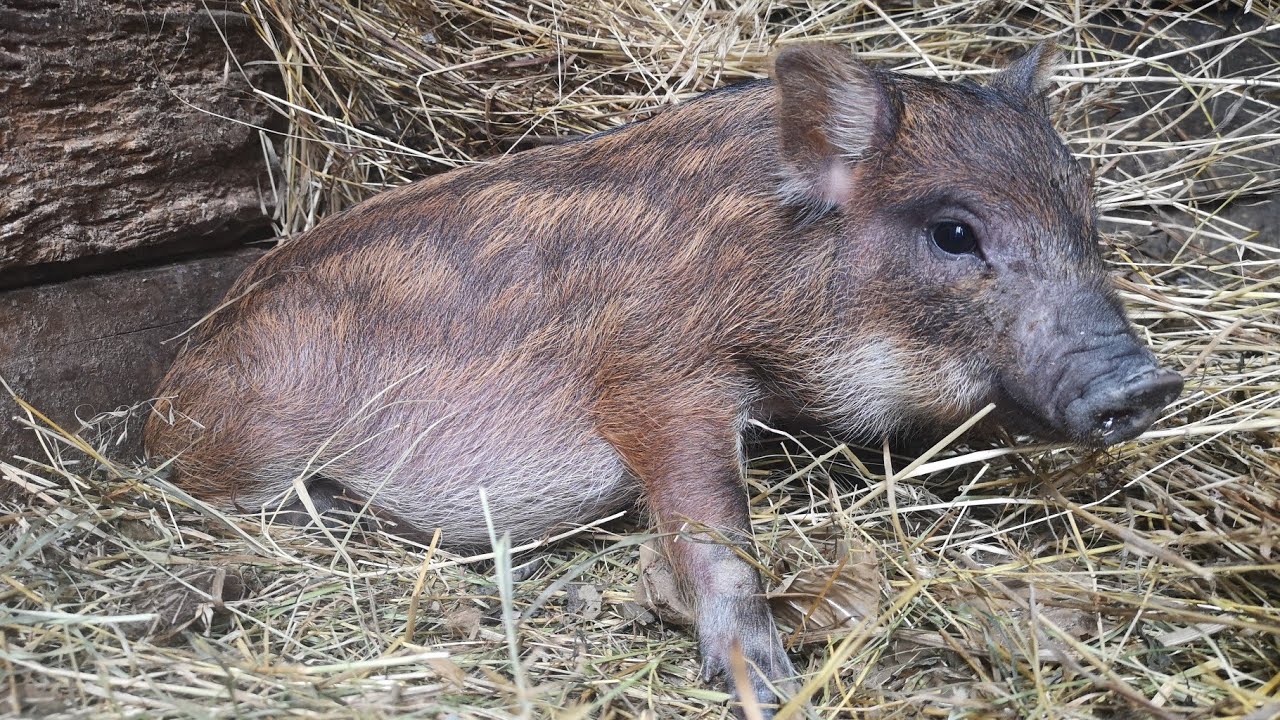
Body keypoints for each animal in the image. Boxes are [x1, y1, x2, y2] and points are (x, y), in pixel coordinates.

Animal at [145, 42, 1183, 716]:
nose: (1146, 384)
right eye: (954, 233)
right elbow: (711, 521)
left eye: (1088, 216)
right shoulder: (655, 378)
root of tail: (158, 409)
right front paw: (770, 689)